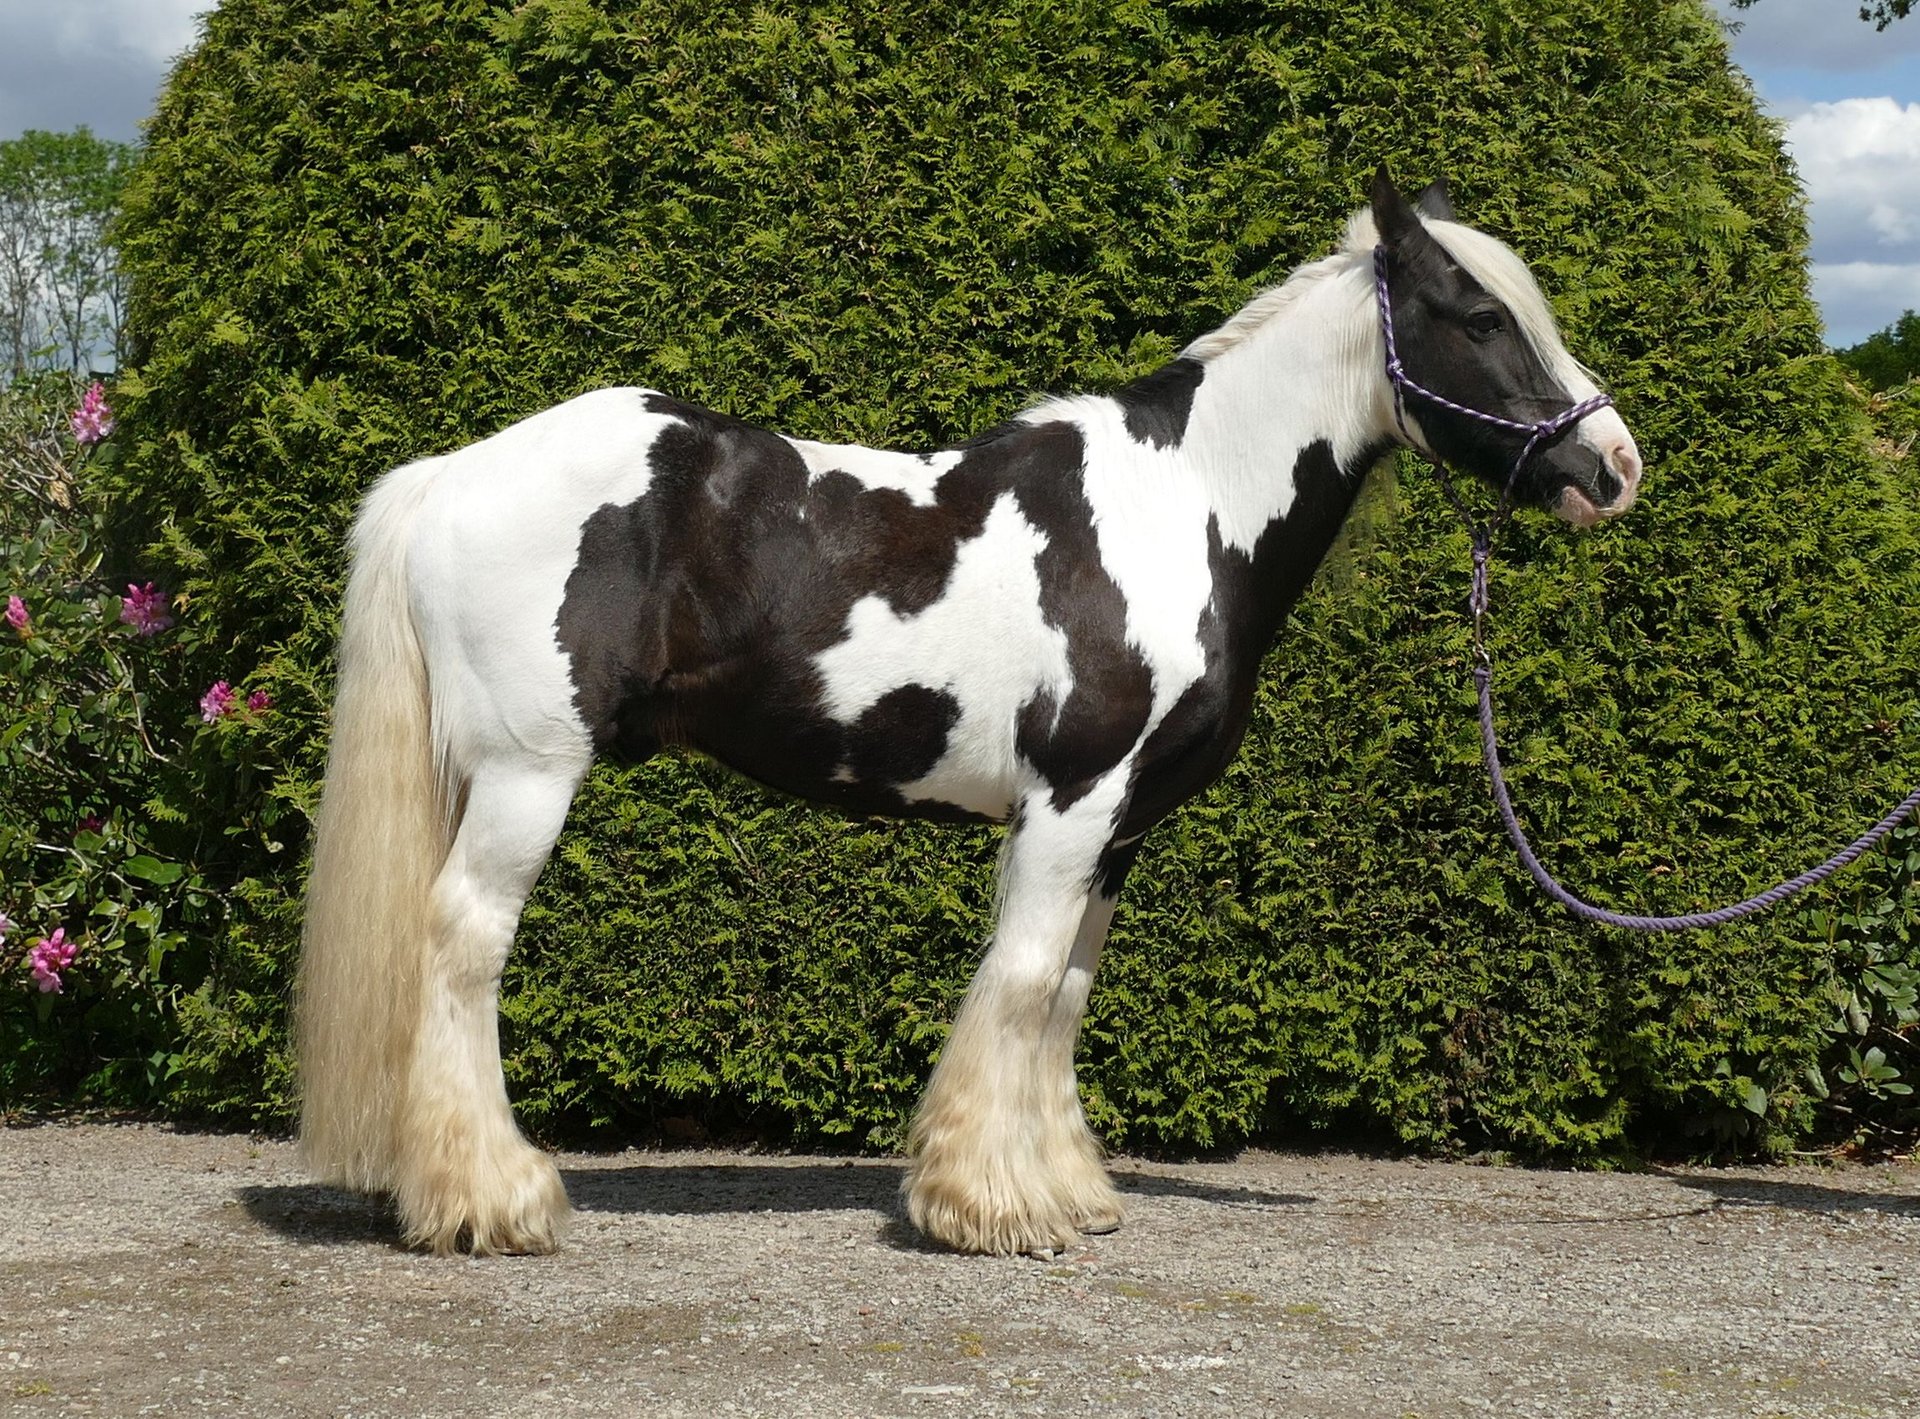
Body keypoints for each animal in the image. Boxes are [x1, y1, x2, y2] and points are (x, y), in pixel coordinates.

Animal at [293, 170, 1642, 1258]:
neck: (1184, 507)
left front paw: (1067, 1188)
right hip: (529, 773)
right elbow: (1025, 979)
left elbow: (1068, 994)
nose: (1615, 468)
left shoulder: (1119, 830)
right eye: (1481, 317)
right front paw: (993, 1208)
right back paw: (493, 1201)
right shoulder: (1070, 803)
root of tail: (449, 475)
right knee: (464, 942)